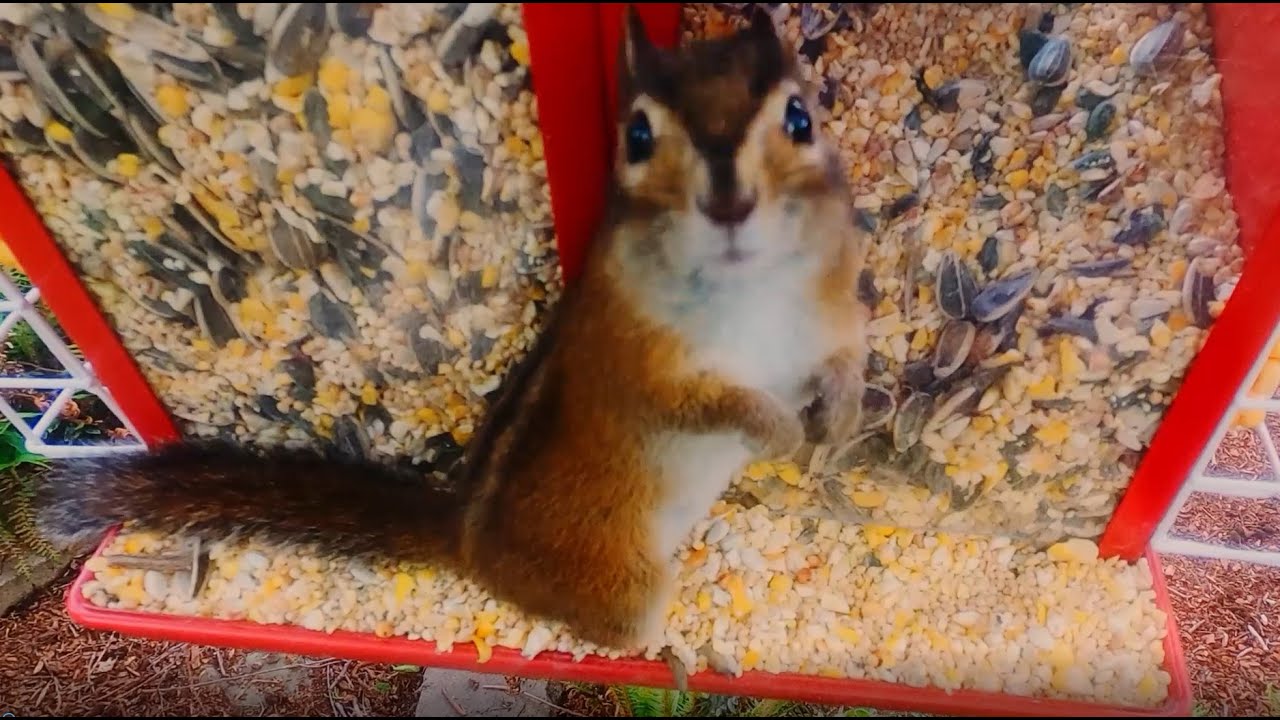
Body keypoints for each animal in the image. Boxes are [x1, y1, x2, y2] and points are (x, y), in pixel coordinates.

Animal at [36, 4, 870, 658]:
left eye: (800, 118)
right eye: (636, 136)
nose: (729, 204)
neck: (753, 286)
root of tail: (470, 545)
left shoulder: (828, 310)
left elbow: (842, 358)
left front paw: (838, 417)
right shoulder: (639, 363)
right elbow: (705, 403)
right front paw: (778, 429)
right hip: (628, 587)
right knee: (621, 634)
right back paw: (681, 656)